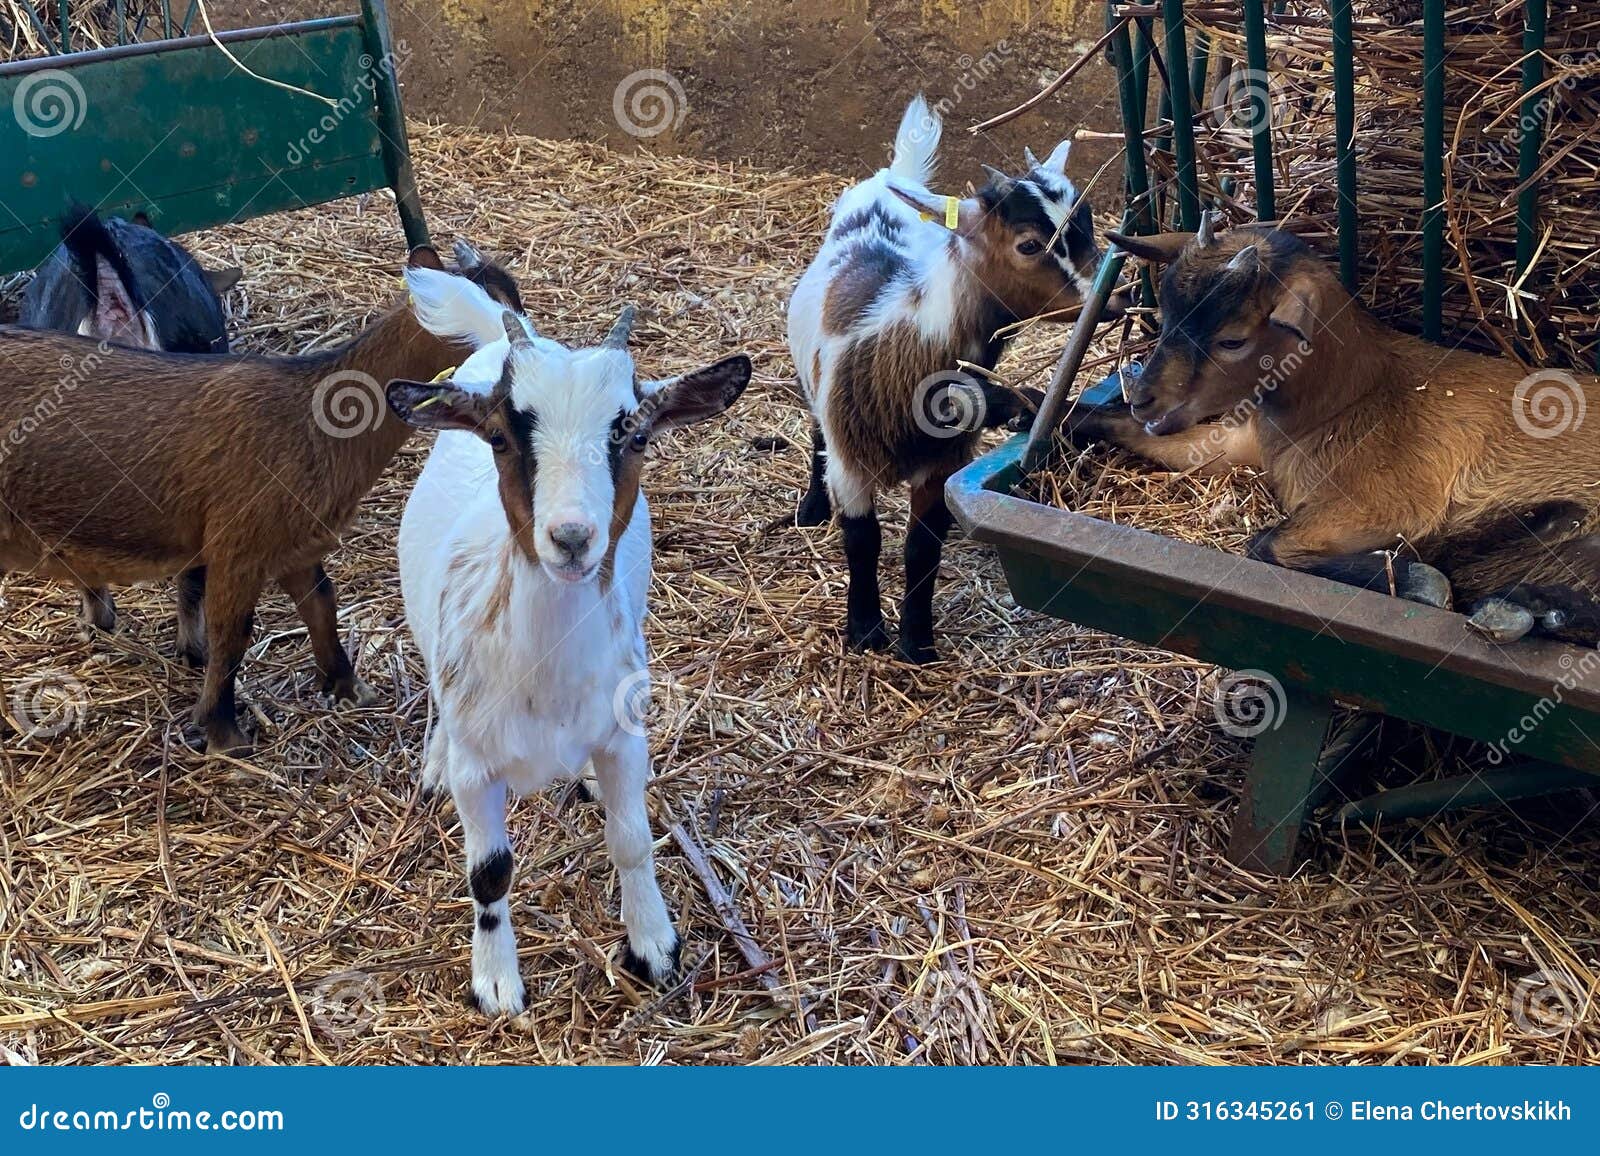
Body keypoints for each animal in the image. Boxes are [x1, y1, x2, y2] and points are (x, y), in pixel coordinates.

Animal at [387, 299, 750, 1015]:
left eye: (635, 436)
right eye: (500, 437)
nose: (573, 537)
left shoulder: (624, 735)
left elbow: (632, 840)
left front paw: (654, 946)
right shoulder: (480, 771)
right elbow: (489, 872)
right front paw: (497, 982)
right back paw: (434, 761)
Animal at [787, 94, 1114, 663]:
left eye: (1090, 220)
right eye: (1030, 245)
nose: (1116, 295)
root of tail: (888, 179)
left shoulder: (943, 463)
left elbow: (923, 548)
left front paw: (917, 642)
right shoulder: (852, 463)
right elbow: (862, 540)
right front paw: (865, 631)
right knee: (814, 429)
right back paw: (811, 506)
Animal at [1066, 218, 1600, 645]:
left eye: (1232, 340)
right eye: (1167, 317)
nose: (1143, 397)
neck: (1351, 399)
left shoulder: (1386, 505)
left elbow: (1268, 543)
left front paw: (1423, 585)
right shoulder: (1242, 441)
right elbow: (1148, 437)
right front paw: (1051, 412)